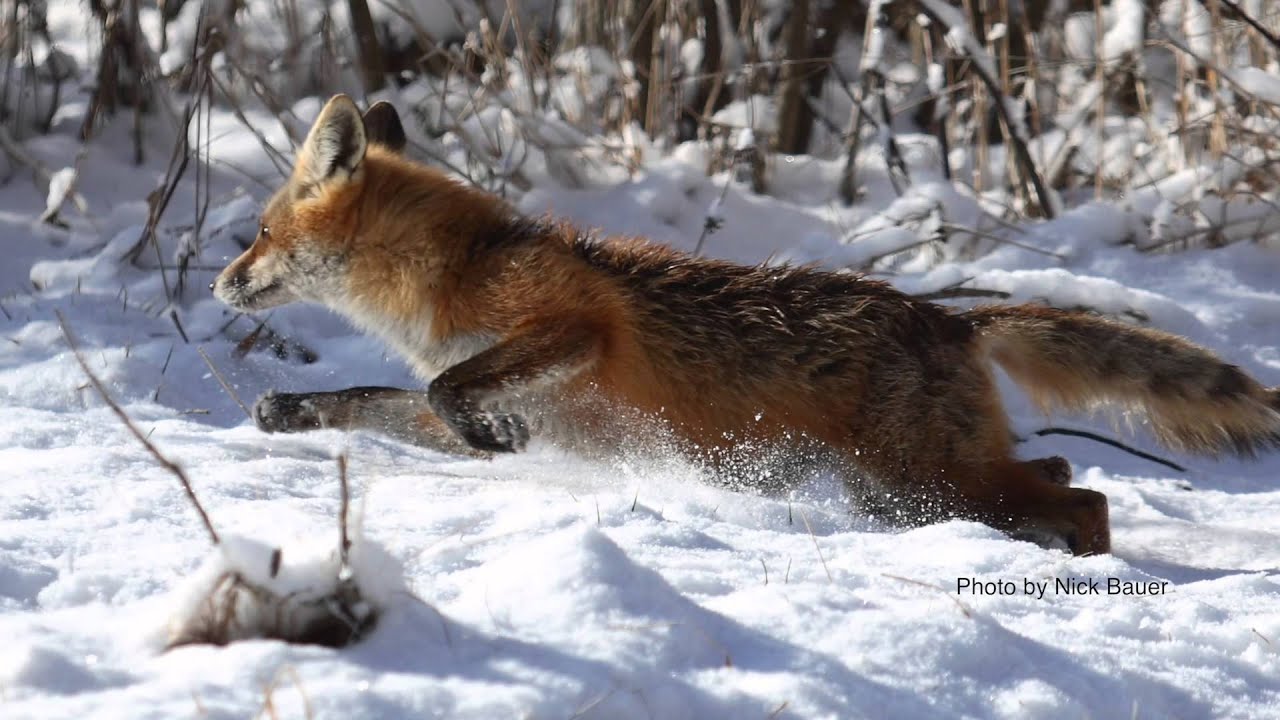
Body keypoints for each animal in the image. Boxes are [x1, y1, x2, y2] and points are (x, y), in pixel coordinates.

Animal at [213, 95, 1280, 556]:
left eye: (257, 232)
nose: (222, 285)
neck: (454, 275)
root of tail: (947, 319)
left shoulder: (571, 329)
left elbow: (442, 389)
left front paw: (477, 426)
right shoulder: (505, 400)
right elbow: (372, 397)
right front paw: (287, 412)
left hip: (929, 482)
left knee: (1085, 499)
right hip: (916, 491)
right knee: (1057, 474)